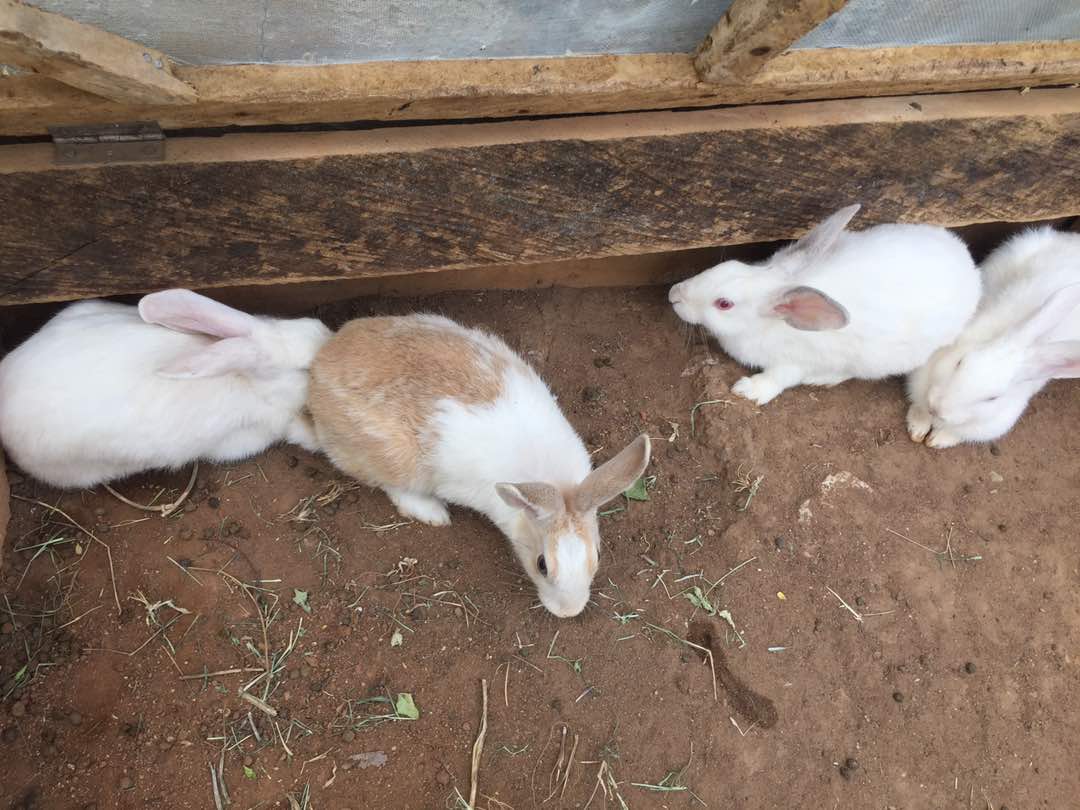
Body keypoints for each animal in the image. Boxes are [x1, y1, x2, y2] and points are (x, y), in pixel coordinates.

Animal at [307, 313, 651, 618]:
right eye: (542, 565)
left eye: (597, 556)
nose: (568, 612)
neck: (554, 486)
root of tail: (322, 360)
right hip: (395, 458)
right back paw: (433, 513)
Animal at [668, 204, 981, 405]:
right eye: (726, 265)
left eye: (724, 304)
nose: (674, 295)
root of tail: (970, 270)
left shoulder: (793, 363)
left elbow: (778, 379)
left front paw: (747, 390)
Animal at [906, 226, 1080, 448]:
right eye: (960, 362)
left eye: (993, 398)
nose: (937, 407)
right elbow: (919, 407)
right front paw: (918, 428)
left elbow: (956, 433)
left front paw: (938, 439)